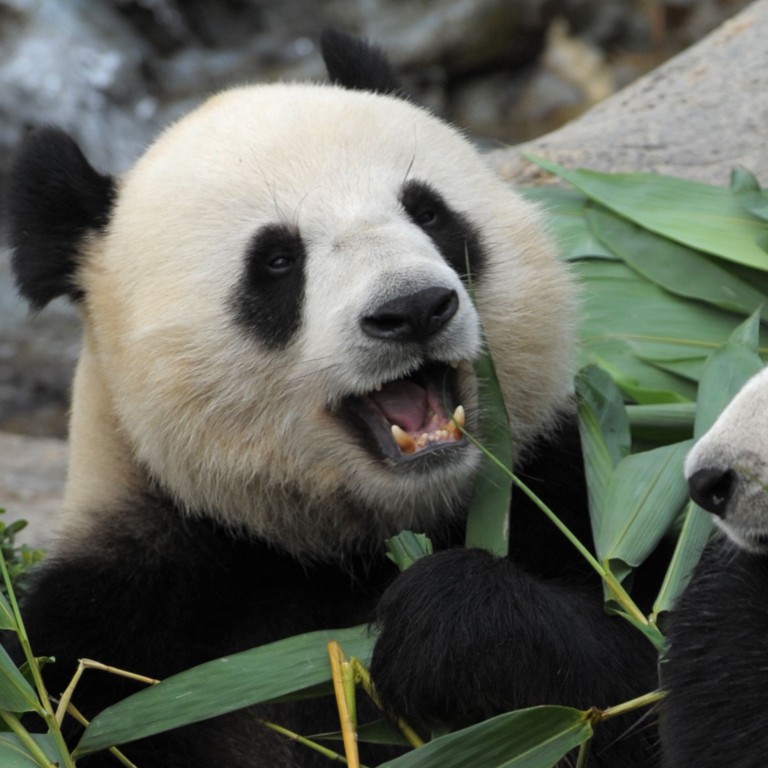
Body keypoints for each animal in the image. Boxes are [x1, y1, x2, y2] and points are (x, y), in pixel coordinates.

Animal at [6, 31, 662, 768]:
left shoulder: (563, 487)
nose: (413, 308)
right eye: (277, 261)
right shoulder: (117, 621)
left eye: (428, 211)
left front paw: (455, 626)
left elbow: (647, 674)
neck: (342, 548)